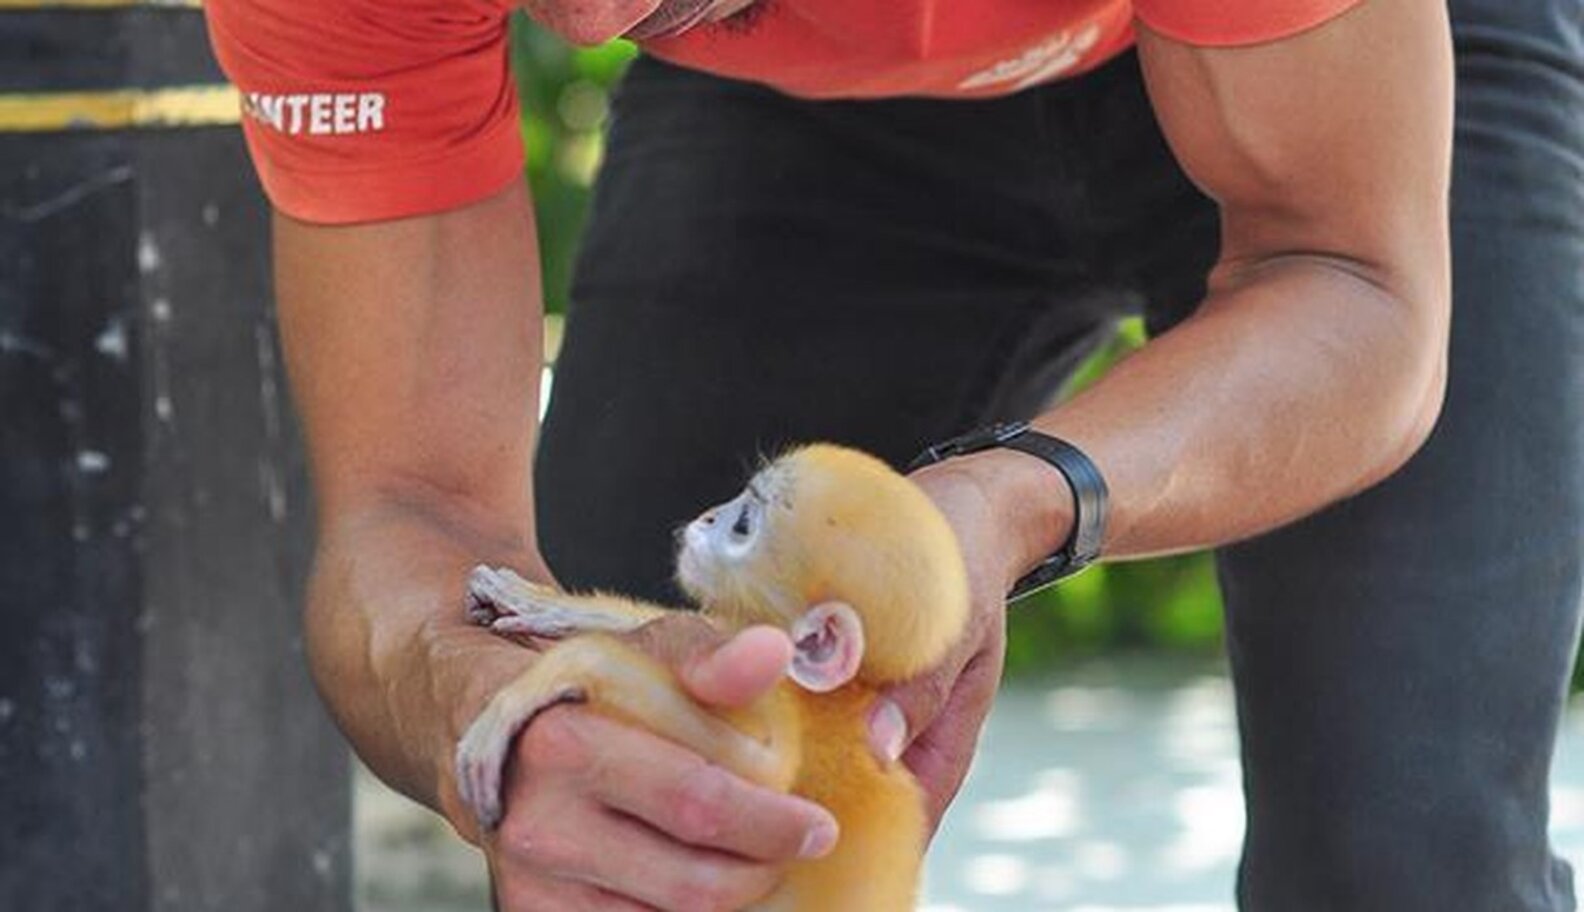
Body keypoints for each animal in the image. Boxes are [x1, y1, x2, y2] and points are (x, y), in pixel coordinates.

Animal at [454, 443, 970, 911]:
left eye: (742, 525)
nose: (706, 518)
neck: (842, 695)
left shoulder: (793, 709)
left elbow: (758, 768)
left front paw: (542, 684)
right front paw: (539, 605)